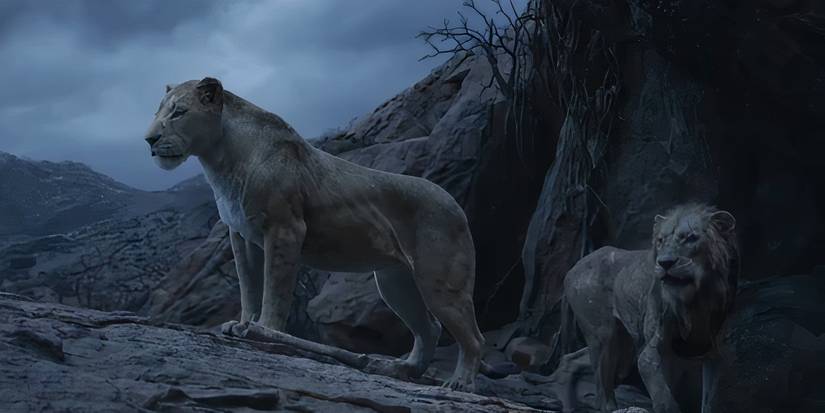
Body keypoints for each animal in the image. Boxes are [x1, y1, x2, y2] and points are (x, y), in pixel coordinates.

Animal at [143, 77, 500, 391]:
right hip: (395, 283)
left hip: (439, 280)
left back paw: (460, 383)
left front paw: (263, 331)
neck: (220, 160)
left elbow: (274, 291)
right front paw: (240, 324)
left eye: (178, 112)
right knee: (430, 329)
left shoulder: (285, 229)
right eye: (157, 111)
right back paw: (397, 368)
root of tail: (454, 203)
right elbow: (249, 288)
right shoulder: (241, 237)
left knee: (472, 336)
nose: (149, 140)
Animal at [561, 204, 738, 412]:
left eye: (691, 238)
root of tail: (573, 267)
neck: (698, 298)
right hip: (603, 336)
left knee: (570, 360)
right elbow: (663, 395)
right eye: (660, 241)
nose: (665, 263)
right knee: (602, 394)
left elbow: (709, 400)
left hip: (624, 346)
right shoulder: (652, 350)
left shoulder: (712, 353)